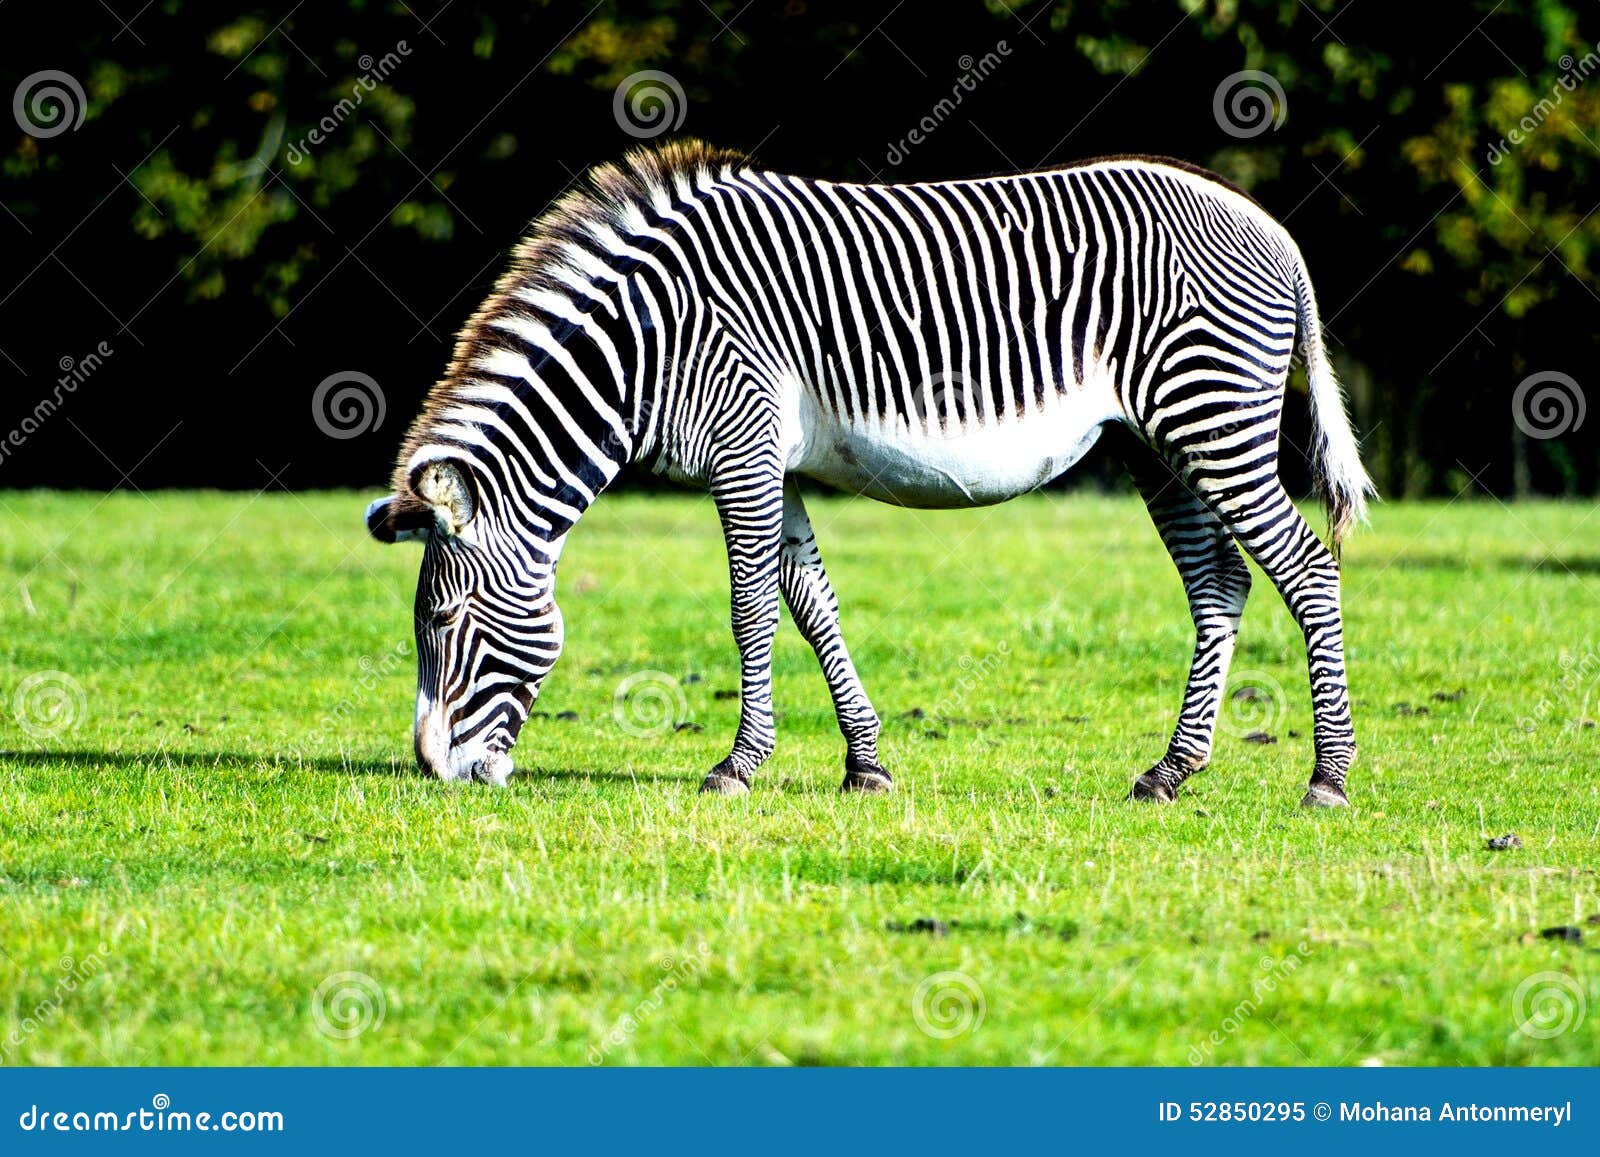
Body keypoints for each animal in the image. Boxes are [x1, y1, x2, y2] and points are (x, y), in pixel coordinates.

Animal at [365, 140, 1373, 807]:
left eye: (442, 621)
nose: (434, 771)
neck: (647, 342)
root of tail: (1273, 228)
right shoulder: (774, 459)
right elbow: (812, 604)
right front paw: (867, 763)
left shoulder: (740, 444)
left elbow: (751, 609)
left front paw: (737, 767)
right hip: (1159, 441)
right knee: (1222, 583)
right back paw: (1172, 769)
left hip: (1208, 417)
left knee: (1306, 567)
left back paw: (1327, 776)